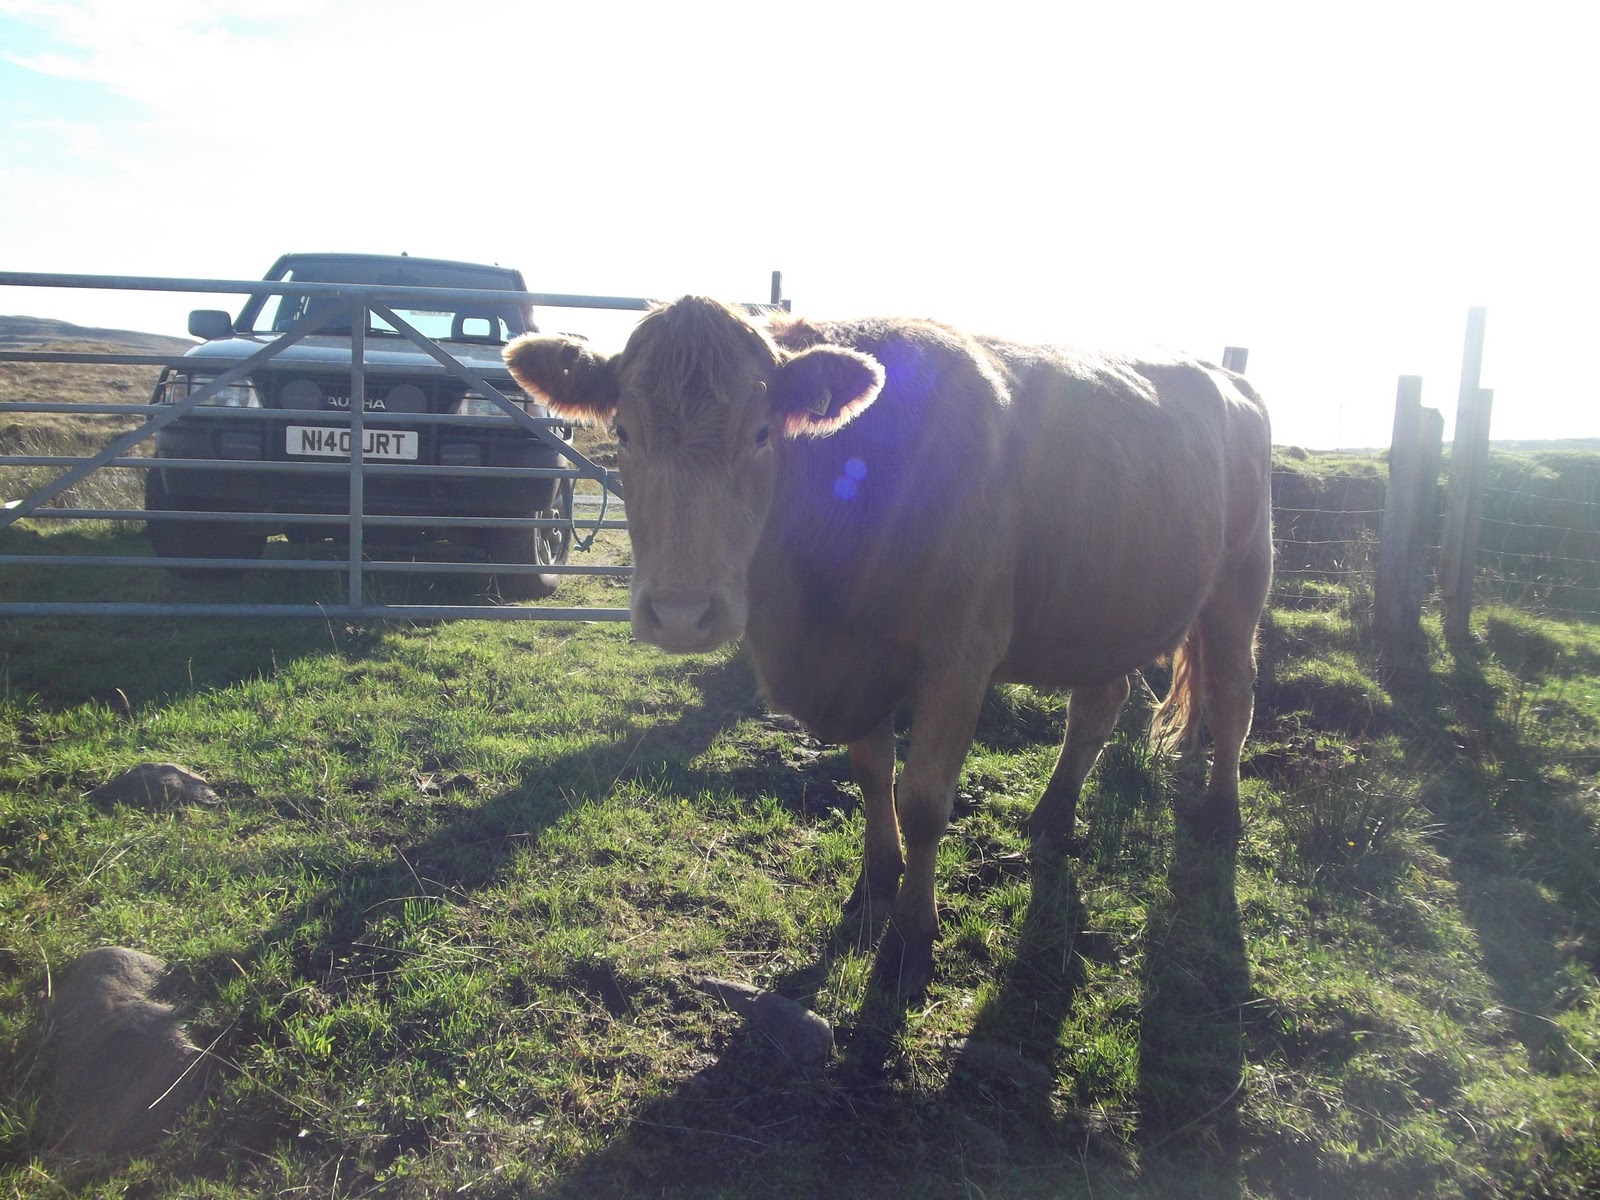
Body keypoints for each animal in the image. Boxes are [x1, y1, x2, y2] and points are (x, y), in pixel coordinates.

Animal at [504, 298, 1273, 994]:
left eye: (762, 433)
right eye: (624, 431)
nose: (679, 612)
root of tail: (1229, 377)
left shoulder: (960, 659)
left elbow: (925, 798)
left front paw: (911, 933)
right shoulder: (857, 664)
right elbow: (874, 776)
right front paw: (875, 882)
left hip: (1242, 579)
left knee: (1235, 697)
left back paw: (1222, 815)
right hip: (1101, 612)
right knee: (1100, 703)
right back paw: (1051, 818)